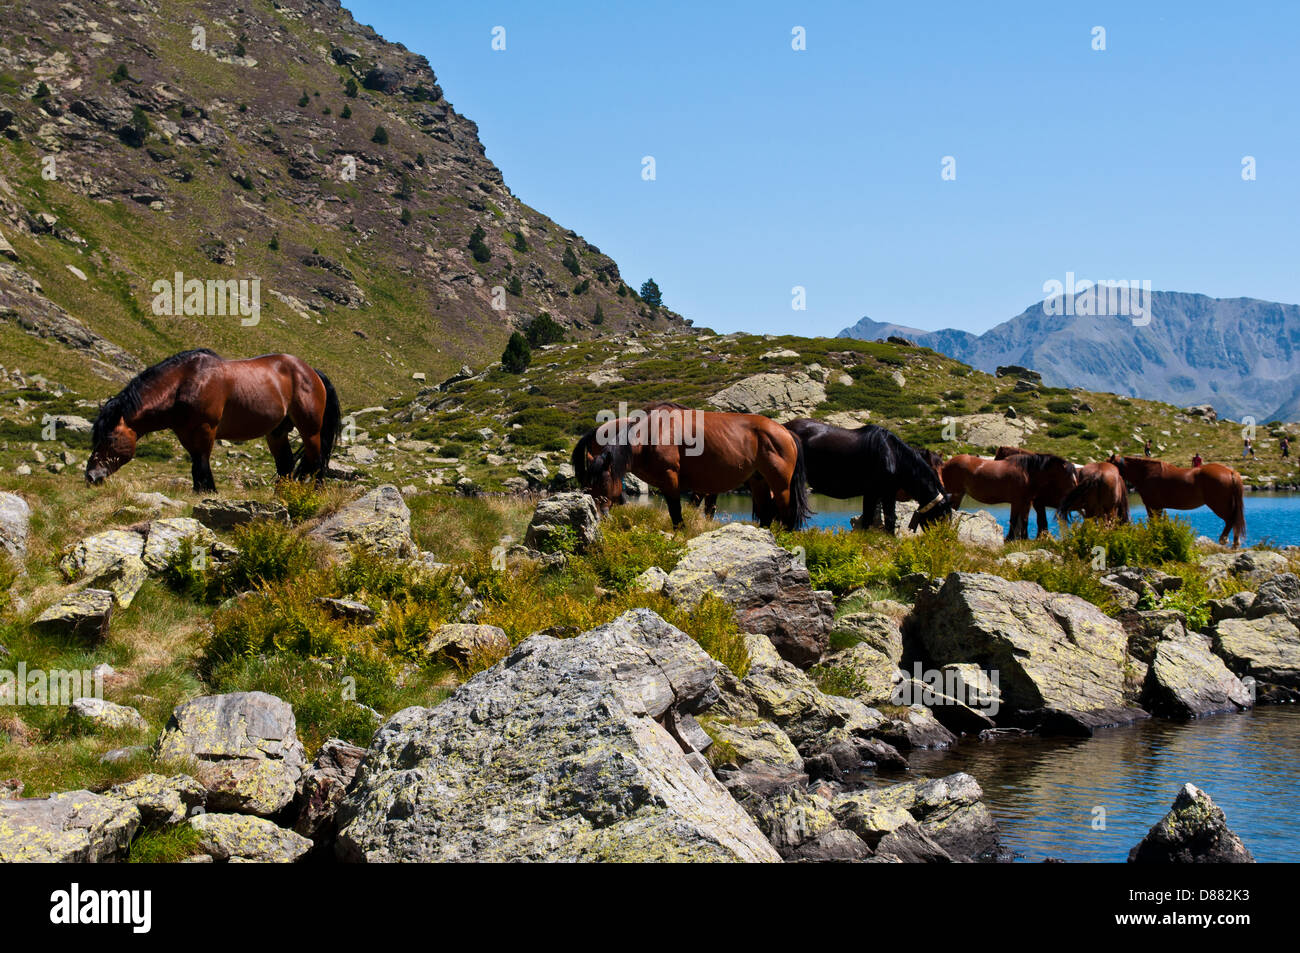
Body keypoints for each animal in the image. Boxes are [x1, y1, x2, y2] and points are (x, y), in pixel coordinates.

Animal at [86, 349, 342, 492]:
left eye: (109, 438)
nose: (90, 475)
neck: (183, 384)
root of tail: (312, 372)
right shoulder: (185, 434)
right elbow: (195, 465)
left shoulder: (205, 430)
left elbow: (201, 464)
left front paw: (208, 493)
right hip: (277, 432)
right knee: (286, 465)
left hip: (310, 429)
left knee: (317, 462)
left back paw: (316, 493)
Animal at [572, 402, 812, 530]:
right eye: (589, 485)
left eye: (604, 483)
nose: (599, 516)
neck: (654, 433)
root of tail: (785, 432)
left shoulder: (671, 479)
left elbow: (676, 513)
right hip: (759, 482)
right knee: (766, 514)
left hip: (780, 486)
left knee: (785, 514)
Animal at [783, 419, 952, 534]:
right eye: (942, 515)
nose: (943, 539)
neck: (894, 456)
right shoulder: (878, 493)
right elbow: (876, 519)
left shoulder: (883, 494)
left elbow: (882, 519)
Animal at [941, 452, 1078, 540]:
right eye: (1070, 478)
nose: (1075, 493)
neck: (1027, 473)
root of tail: (945, 464)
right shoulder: (1016, 501)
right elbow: (1013, 520)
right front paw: (1009, 538)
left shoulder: (1026, 502)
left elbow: (1024, 520)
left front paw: (1024, 539)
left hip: (958, 494)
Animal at [1108, 454, 1245, 546]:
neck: (1146, 473)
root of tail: (1230, 471)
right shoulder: (1158, 507)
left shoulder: (1152, 506)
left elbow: (1153, 523)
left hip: (1219, 504)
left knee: (1230, 519)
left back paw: (1225, 540)